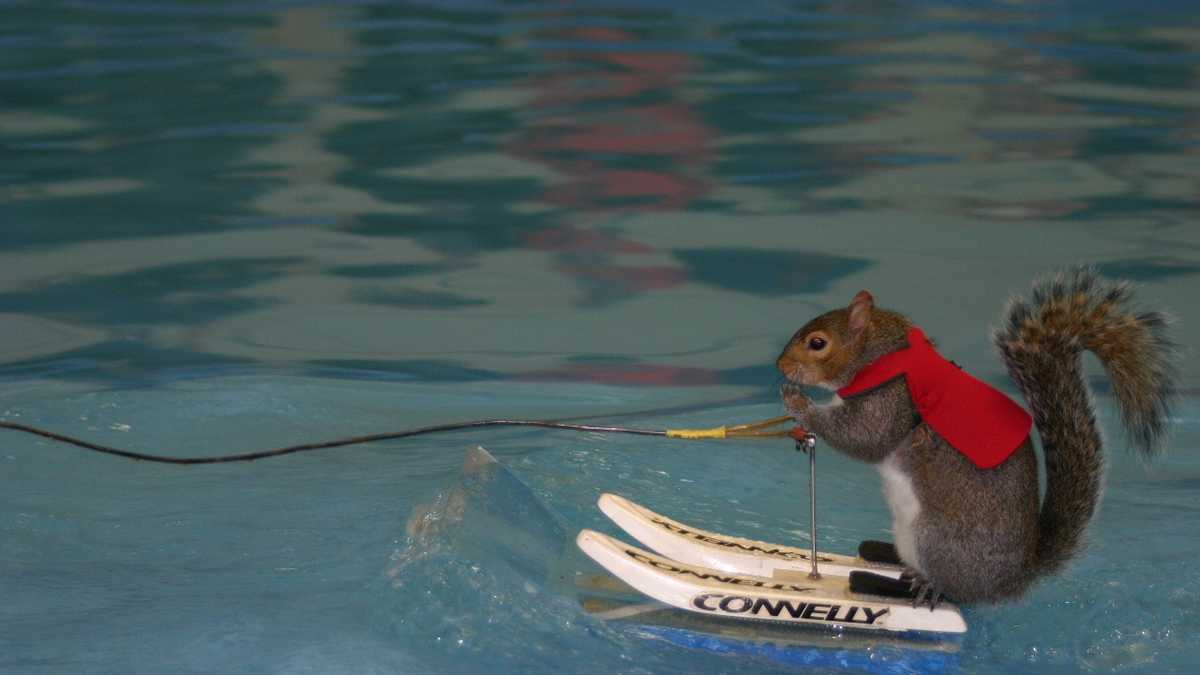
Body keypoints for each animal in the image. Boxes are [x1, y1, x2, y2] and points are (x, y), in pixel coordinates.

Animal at [777, 268, 1175, 606]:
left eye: (817, 343)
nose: (780, 366)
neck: (880, 354)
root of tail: (1013, 580)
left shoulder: (891, 401)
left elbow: (865, 437)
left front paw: (798, 402)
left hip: (934, 537)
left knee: (955, 593)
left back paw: (913, 584)